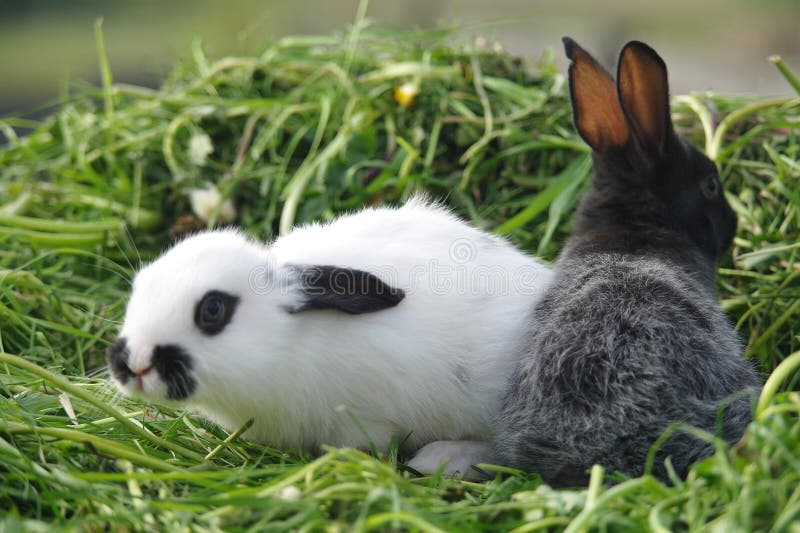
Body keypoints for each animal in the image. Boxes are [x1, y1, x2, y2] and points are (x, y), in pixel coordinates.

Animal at [107, 197, 553, 477]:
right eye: (140, 285)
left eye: (212, 310)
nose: (133, 362)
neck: (287, 343)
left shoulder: (364, 421)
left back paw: (441, 460)